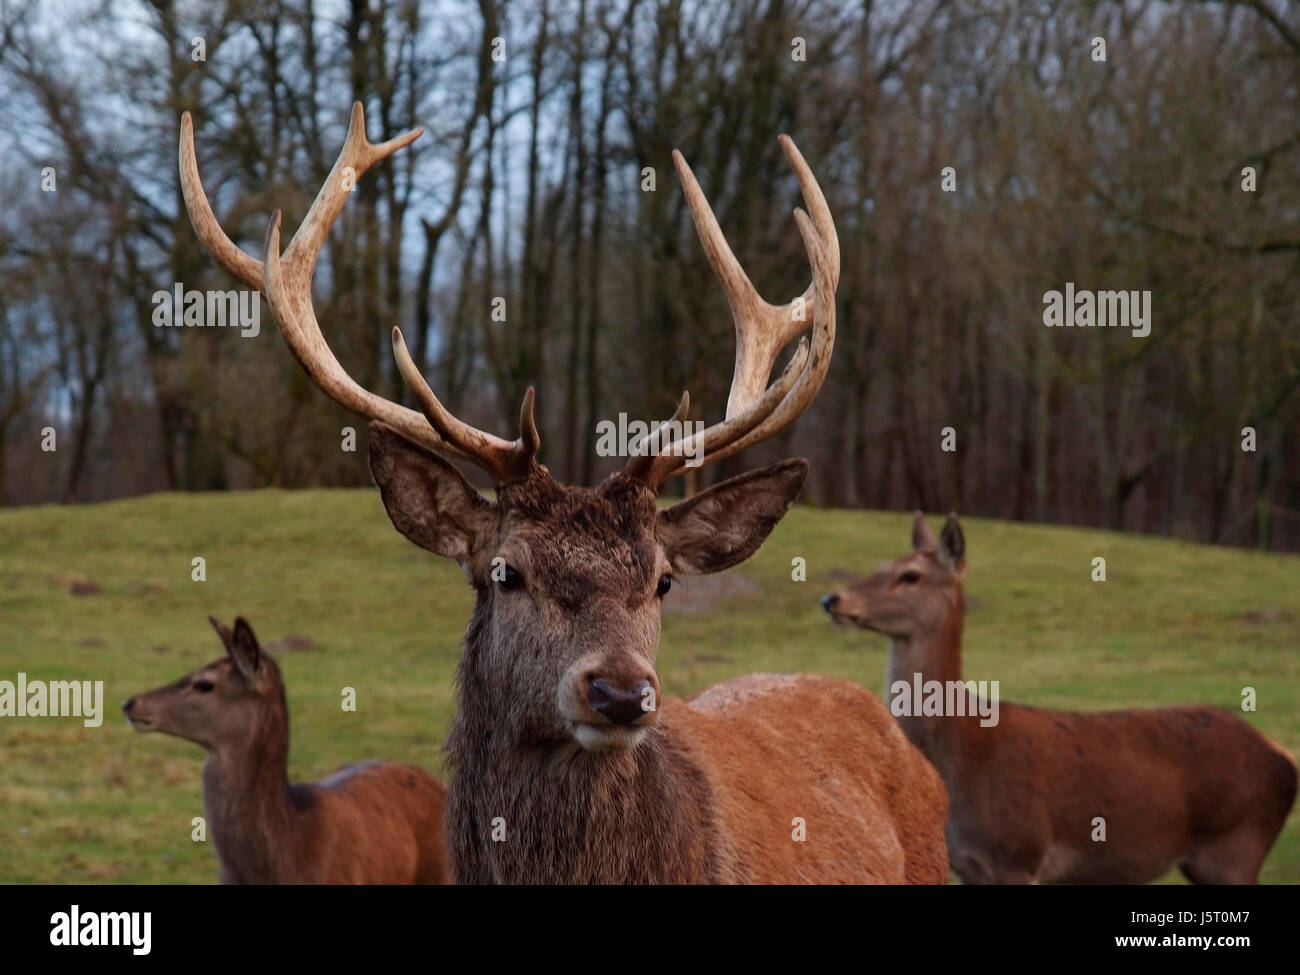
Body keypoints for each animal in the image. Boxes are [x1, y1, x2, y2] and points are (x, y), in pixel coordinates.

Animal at [822, 512, 1299, 884]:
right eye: (884, 563)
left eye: (910, 576)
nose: (832, 598)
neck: (964, 751)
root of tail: (1283, 756)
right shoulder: (971, 867)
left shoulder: (1018, 852)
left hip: (1237, 846)